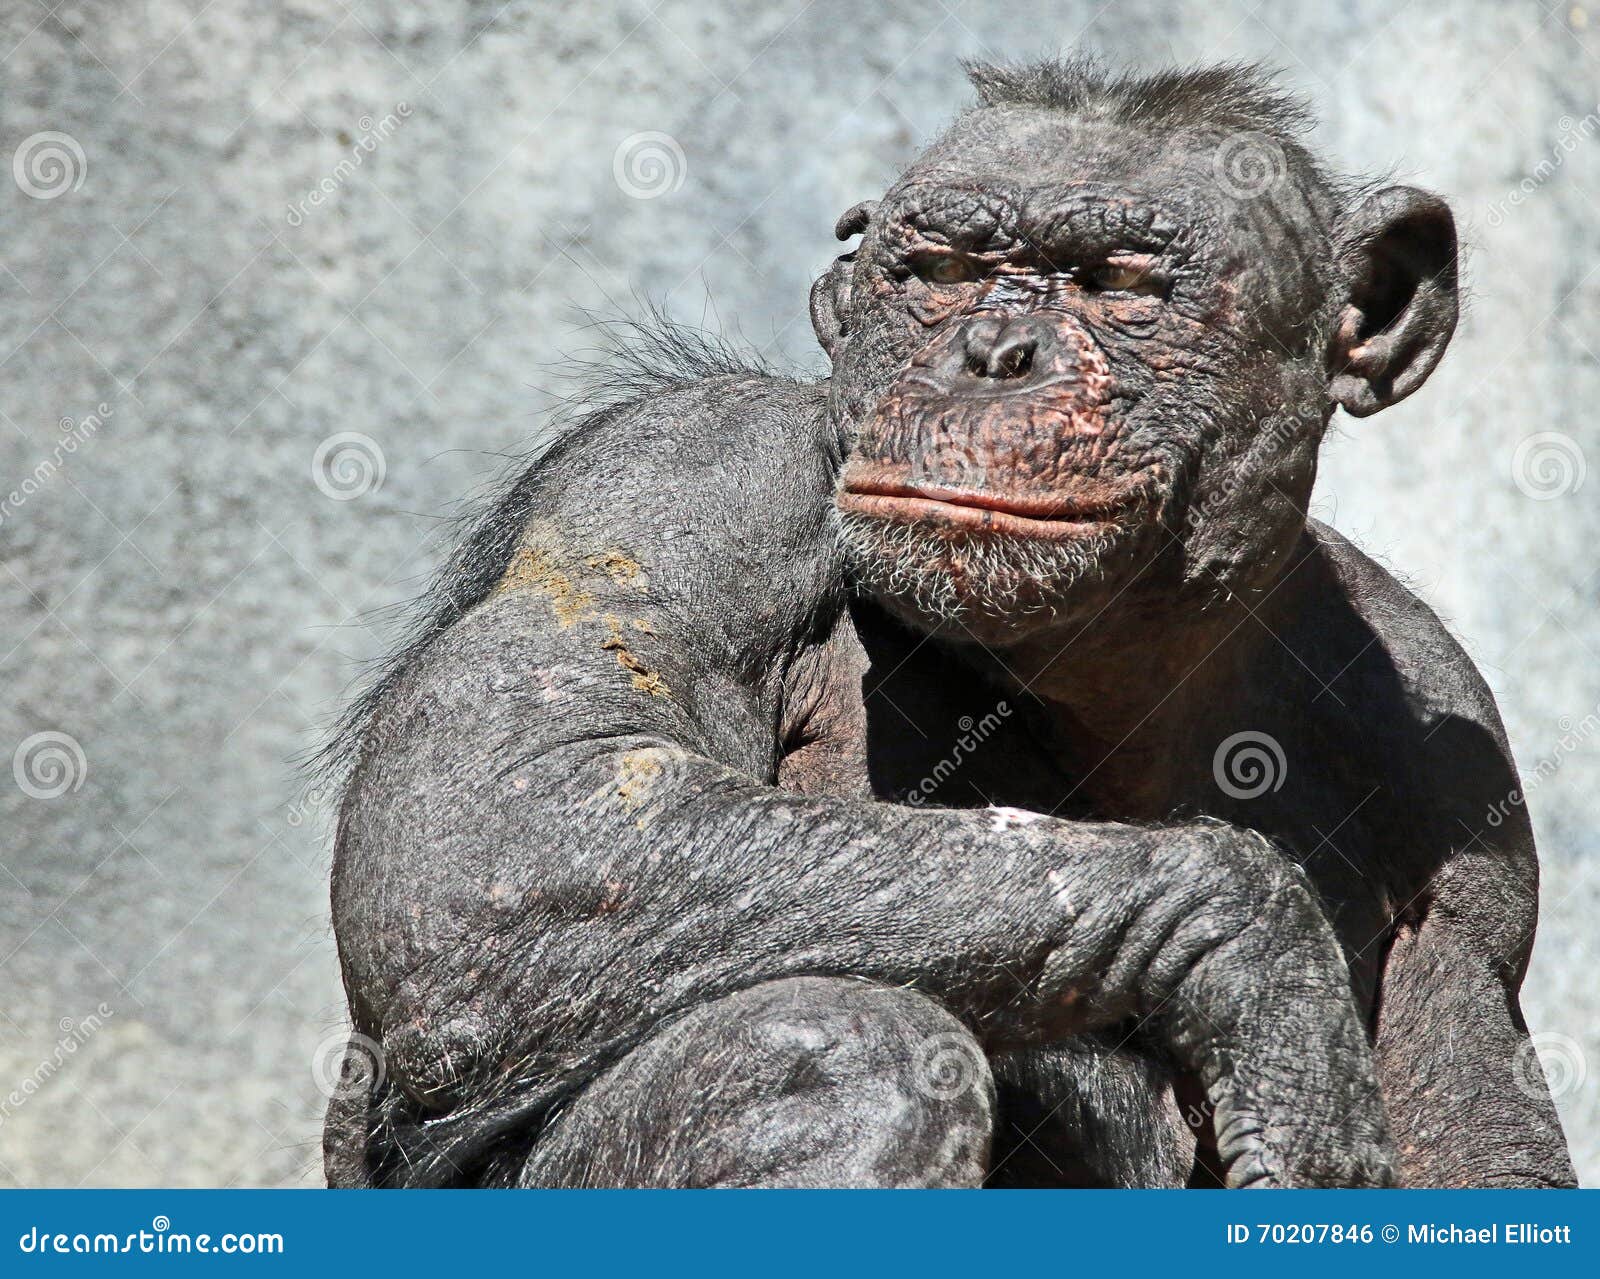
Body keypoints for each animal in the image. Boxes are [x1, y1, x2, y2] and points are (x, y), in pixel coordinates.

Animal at [321, 57, 1575, 1190]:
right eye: (942, 271)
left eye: (1117, 285)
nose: (993, 353)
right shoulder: (683, 473)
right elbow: (501, 814)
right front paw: (1256, 954)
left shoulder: (1457, 773)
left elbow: (1481, 1142)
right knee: (834, 1050)